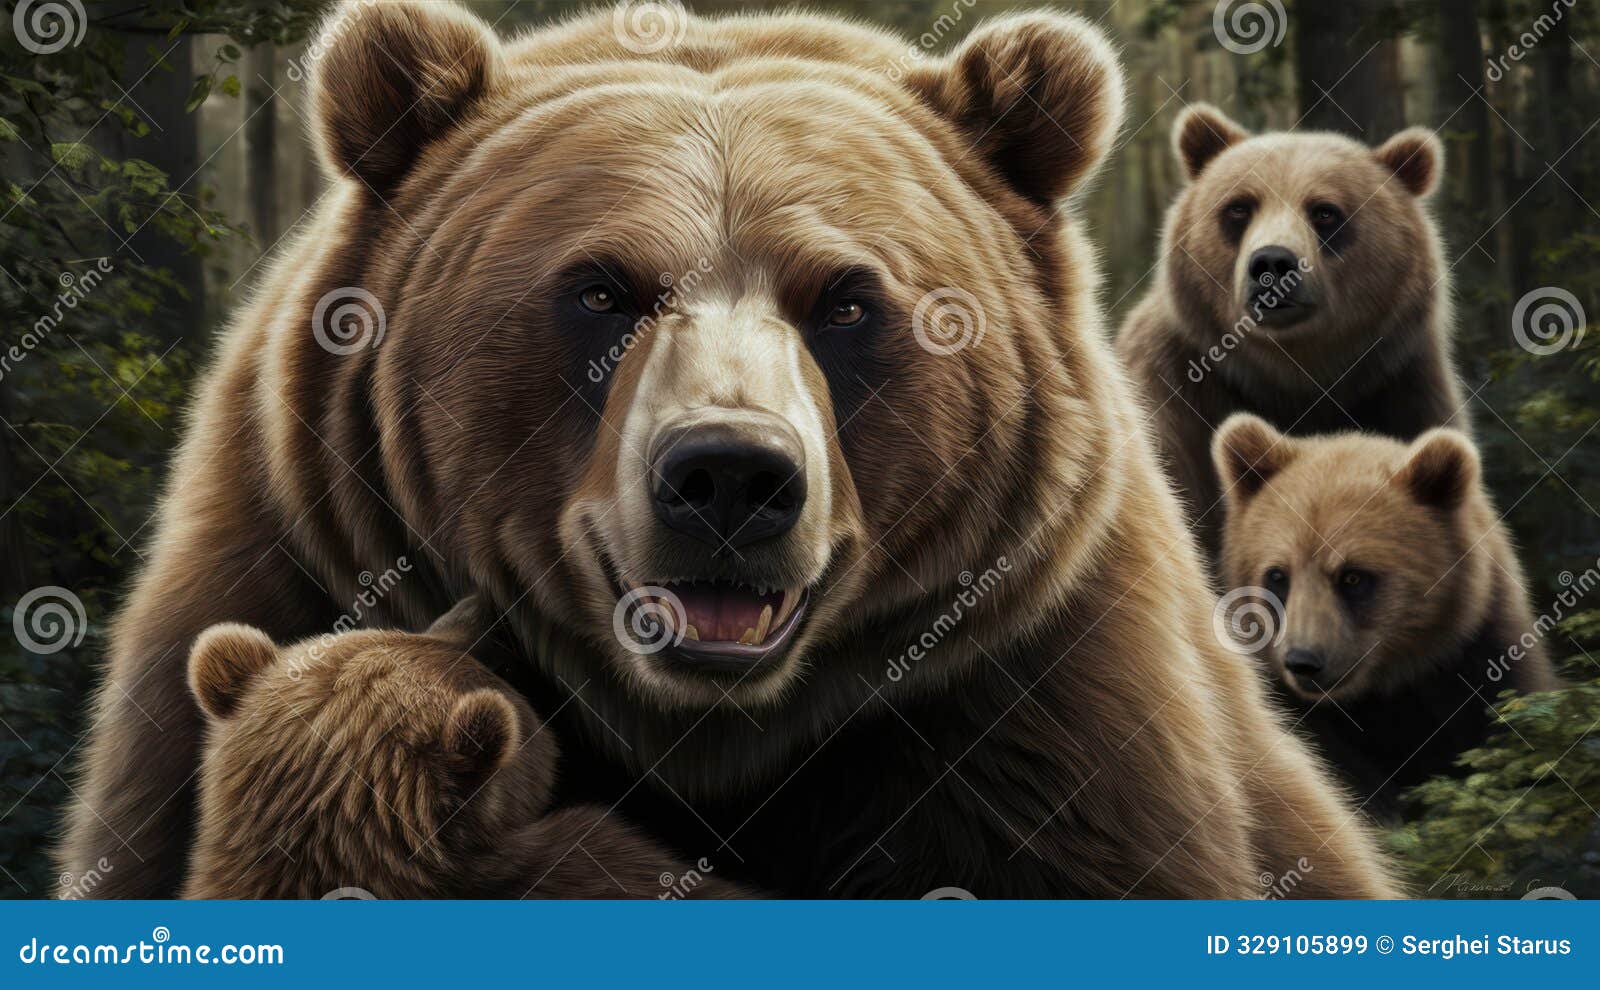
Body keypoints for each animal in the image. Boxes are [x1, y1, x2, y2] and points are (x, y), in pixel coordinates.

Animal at [1116, 103, 1468, 563]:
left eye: (1325, 211)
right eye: (1239, 208)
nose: (1272, 263)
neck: (1293, 375)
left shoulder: (1399, 392)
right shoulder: (1174, 399)